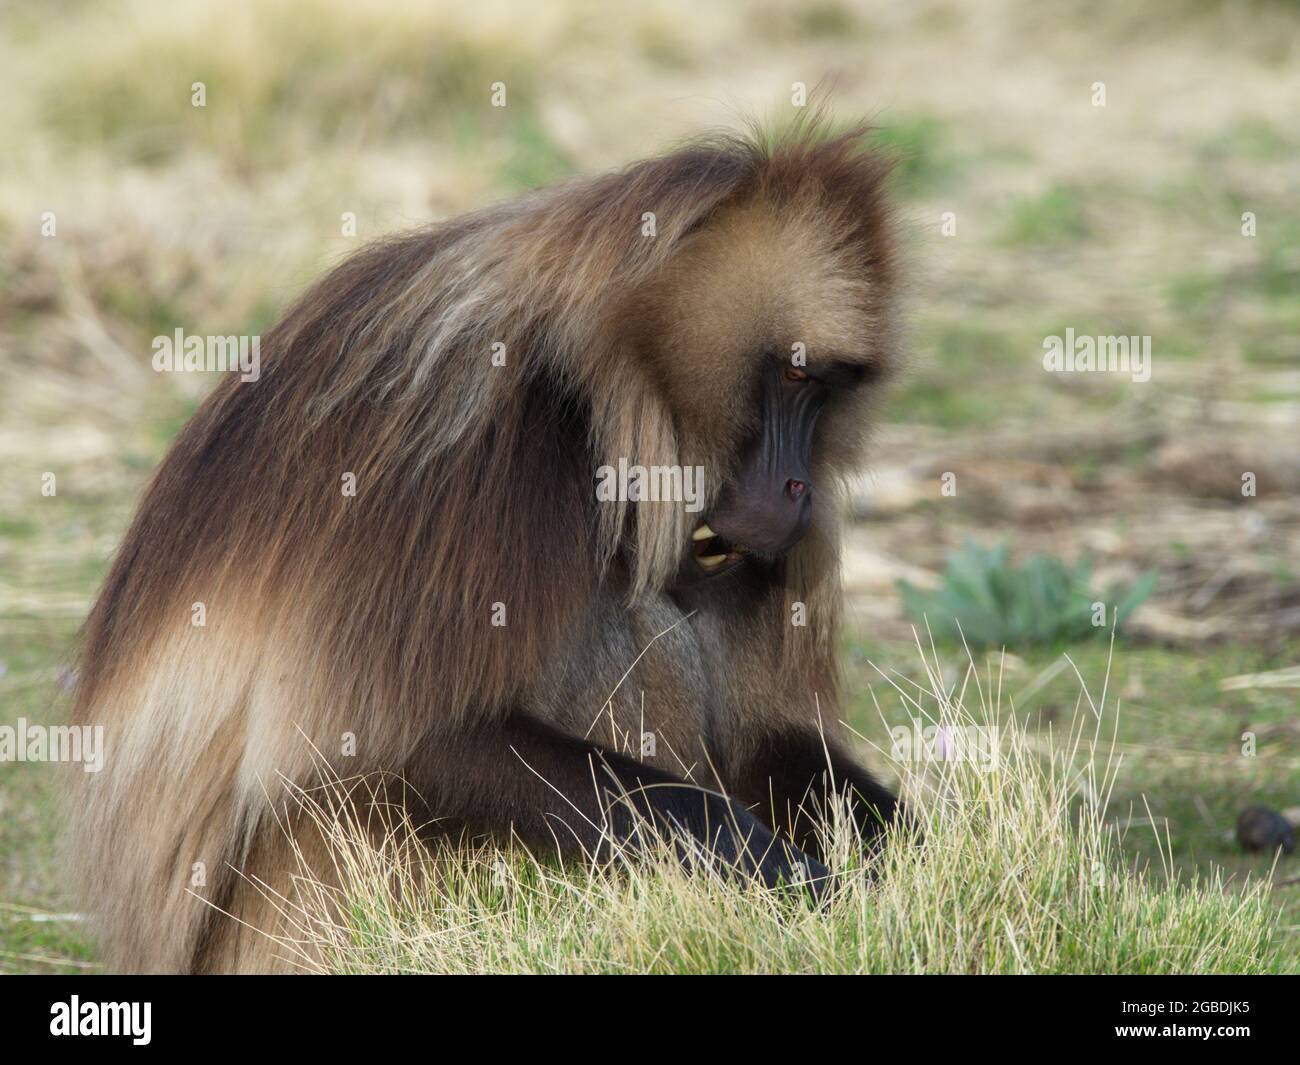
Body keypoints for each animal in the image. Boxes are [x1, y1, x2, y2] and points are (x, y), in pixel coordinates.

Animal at [65, 115, 904, 973]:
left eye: (831, 387)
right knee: (634, 625)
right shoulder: (465, 453)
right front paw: (789, 876)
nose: (800, 491)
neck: (590, 387)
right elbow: (392, 749)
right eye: (793, 377)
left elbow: (766, 735)